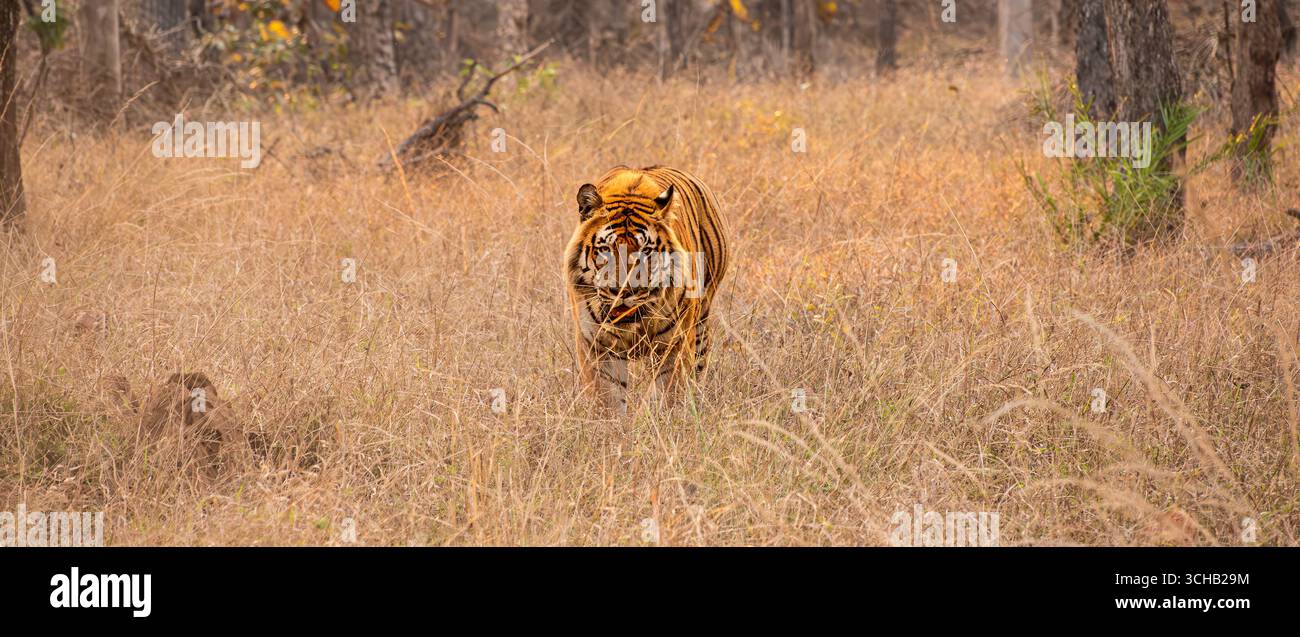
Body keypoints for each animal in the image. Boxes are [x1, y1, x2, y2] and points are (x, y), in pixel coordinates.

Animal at [564, 166, 728, 414]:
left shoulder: (673, 345)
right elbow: (608, 401)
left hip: (701, 320)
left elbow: (665, 396)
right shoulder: (598, 348)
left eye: (645, 252)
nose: (621, 291)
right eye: (605, 249)